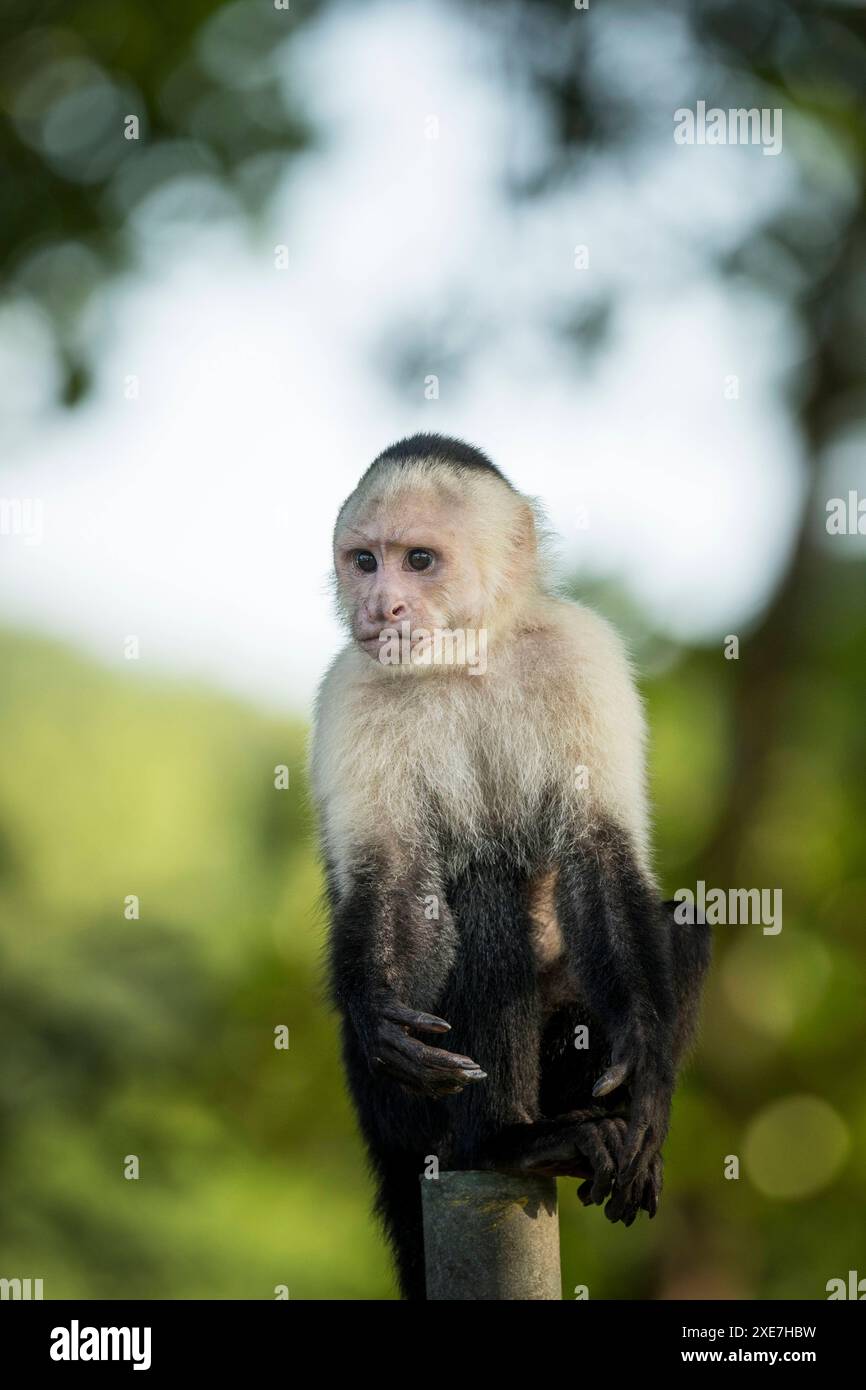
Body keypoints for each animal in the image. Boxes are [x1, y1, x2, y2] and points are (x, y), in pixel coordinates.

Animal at [310, 433, 711, 1301]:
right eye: (365, 561)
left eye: (419, 560)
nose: (381, 605)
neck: (468, 656)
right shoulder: (352, 688)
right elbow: (394, 879)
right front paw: (377, 1008)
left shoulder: (582, 653)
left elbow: (601, 854)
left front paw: (645, 1069)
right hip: (399, 1115)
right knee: (483, 895)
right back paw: (504, 1146)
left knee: (685, 923)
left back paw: (594, 1136)